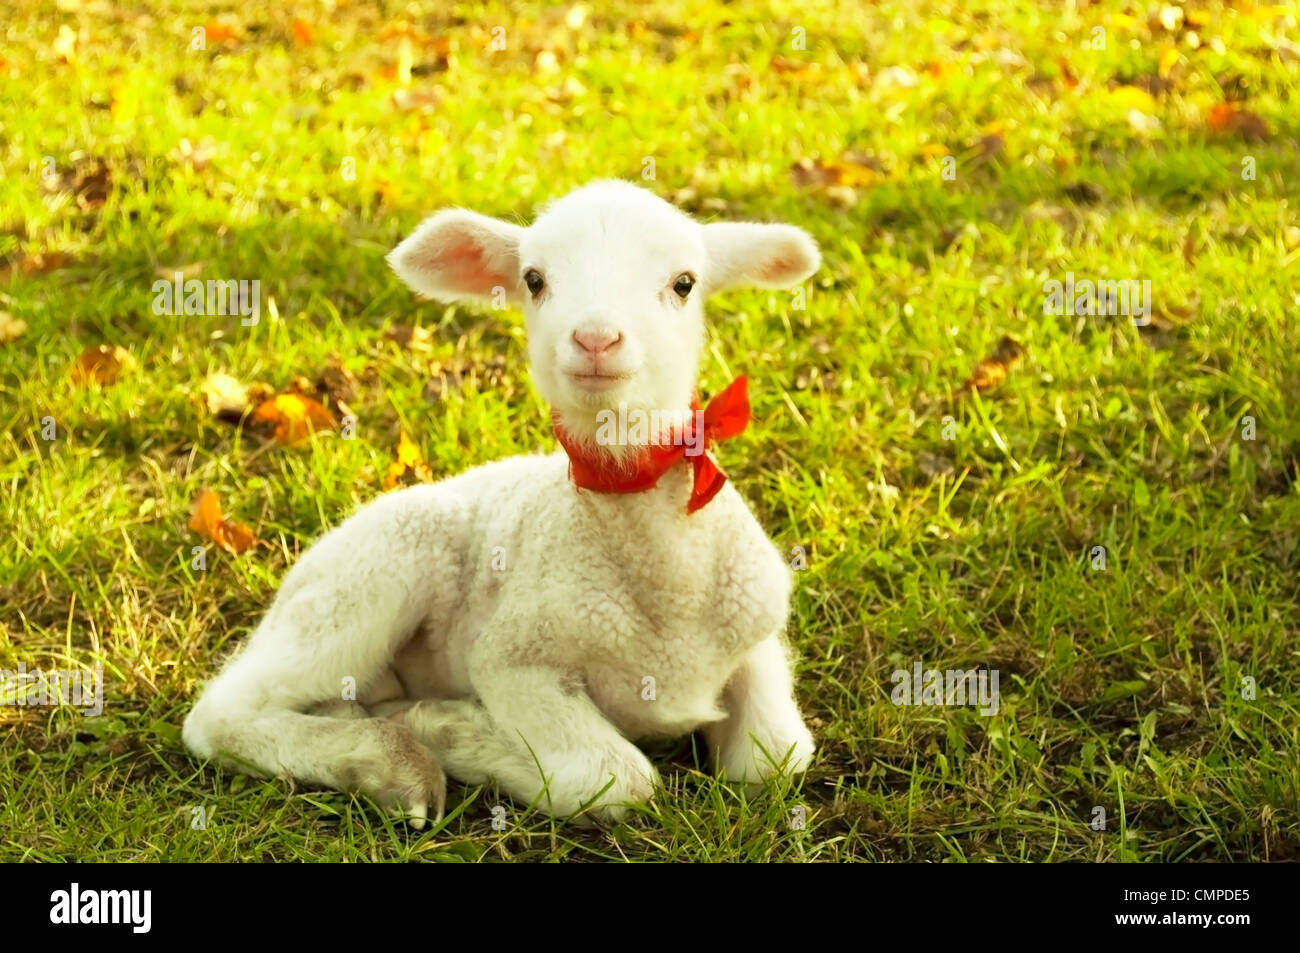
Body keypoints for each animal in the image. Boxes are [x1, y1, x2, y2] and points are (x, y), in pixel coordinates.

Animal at [182, 180, 821, 827]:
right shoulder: (513, 660)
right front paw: (448, 726)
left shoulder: (760, 634)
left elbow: (778, 755)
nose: (595, 339)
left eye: (684, 283)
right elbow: (613, 779)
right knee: (218, 716)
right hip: (369, 577)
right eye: (534, 280)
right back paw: (394, 764)